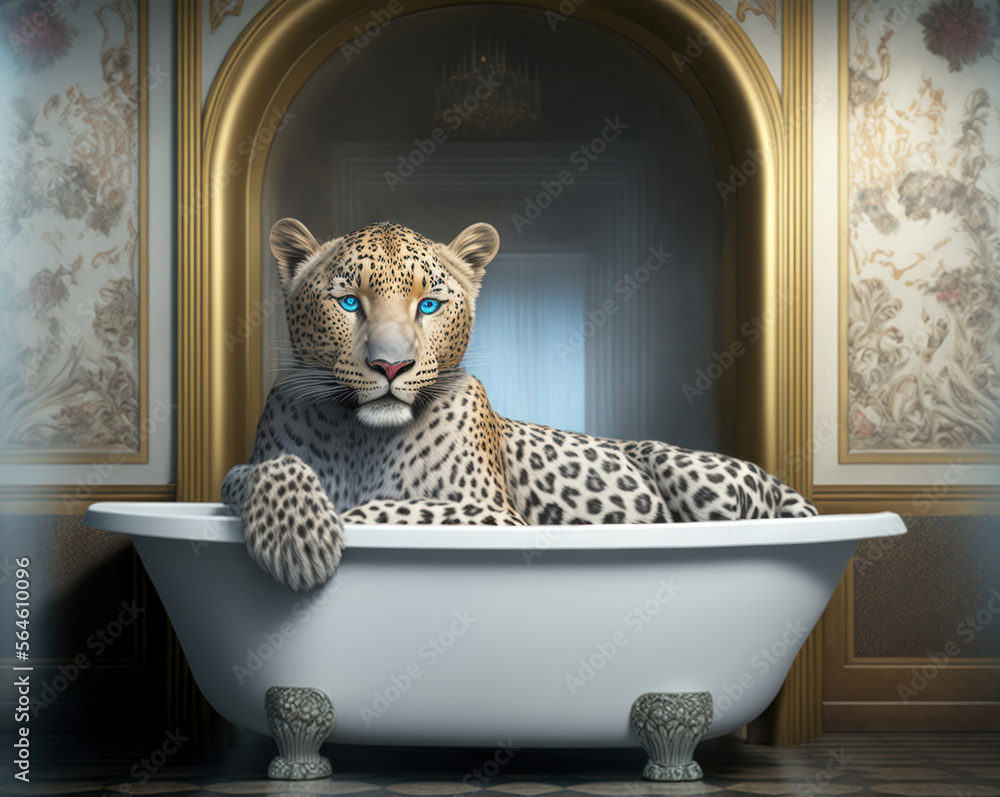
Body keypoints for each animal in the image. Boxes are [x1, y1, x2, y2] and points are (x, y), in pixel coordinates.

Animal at [222, 218, 817, 591]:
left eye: (429, 305)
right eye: (348, 302)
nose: (391, 367)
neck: (362, 437)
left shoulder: (496, 516)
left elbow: (392, 508)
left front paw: (324, 530)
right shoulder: (250, 463)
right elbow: (254, 473)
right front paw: (296, 535)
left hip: (695, 475)